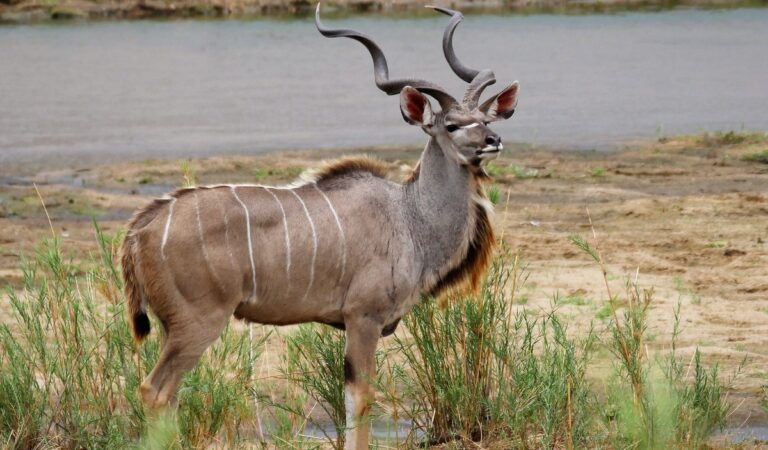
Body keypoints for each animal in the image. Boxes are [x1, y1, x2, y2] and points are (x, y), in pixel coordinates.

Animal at [121, 4, 519, 449]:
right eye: (451, 125)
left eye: (484, 117)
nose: (493, 139)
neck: (408, 216)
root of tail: (142, 226)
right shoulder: (363, 318)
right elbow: (360, 399)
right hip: (198, 322)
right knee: (156, 390)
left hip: (175, 327)